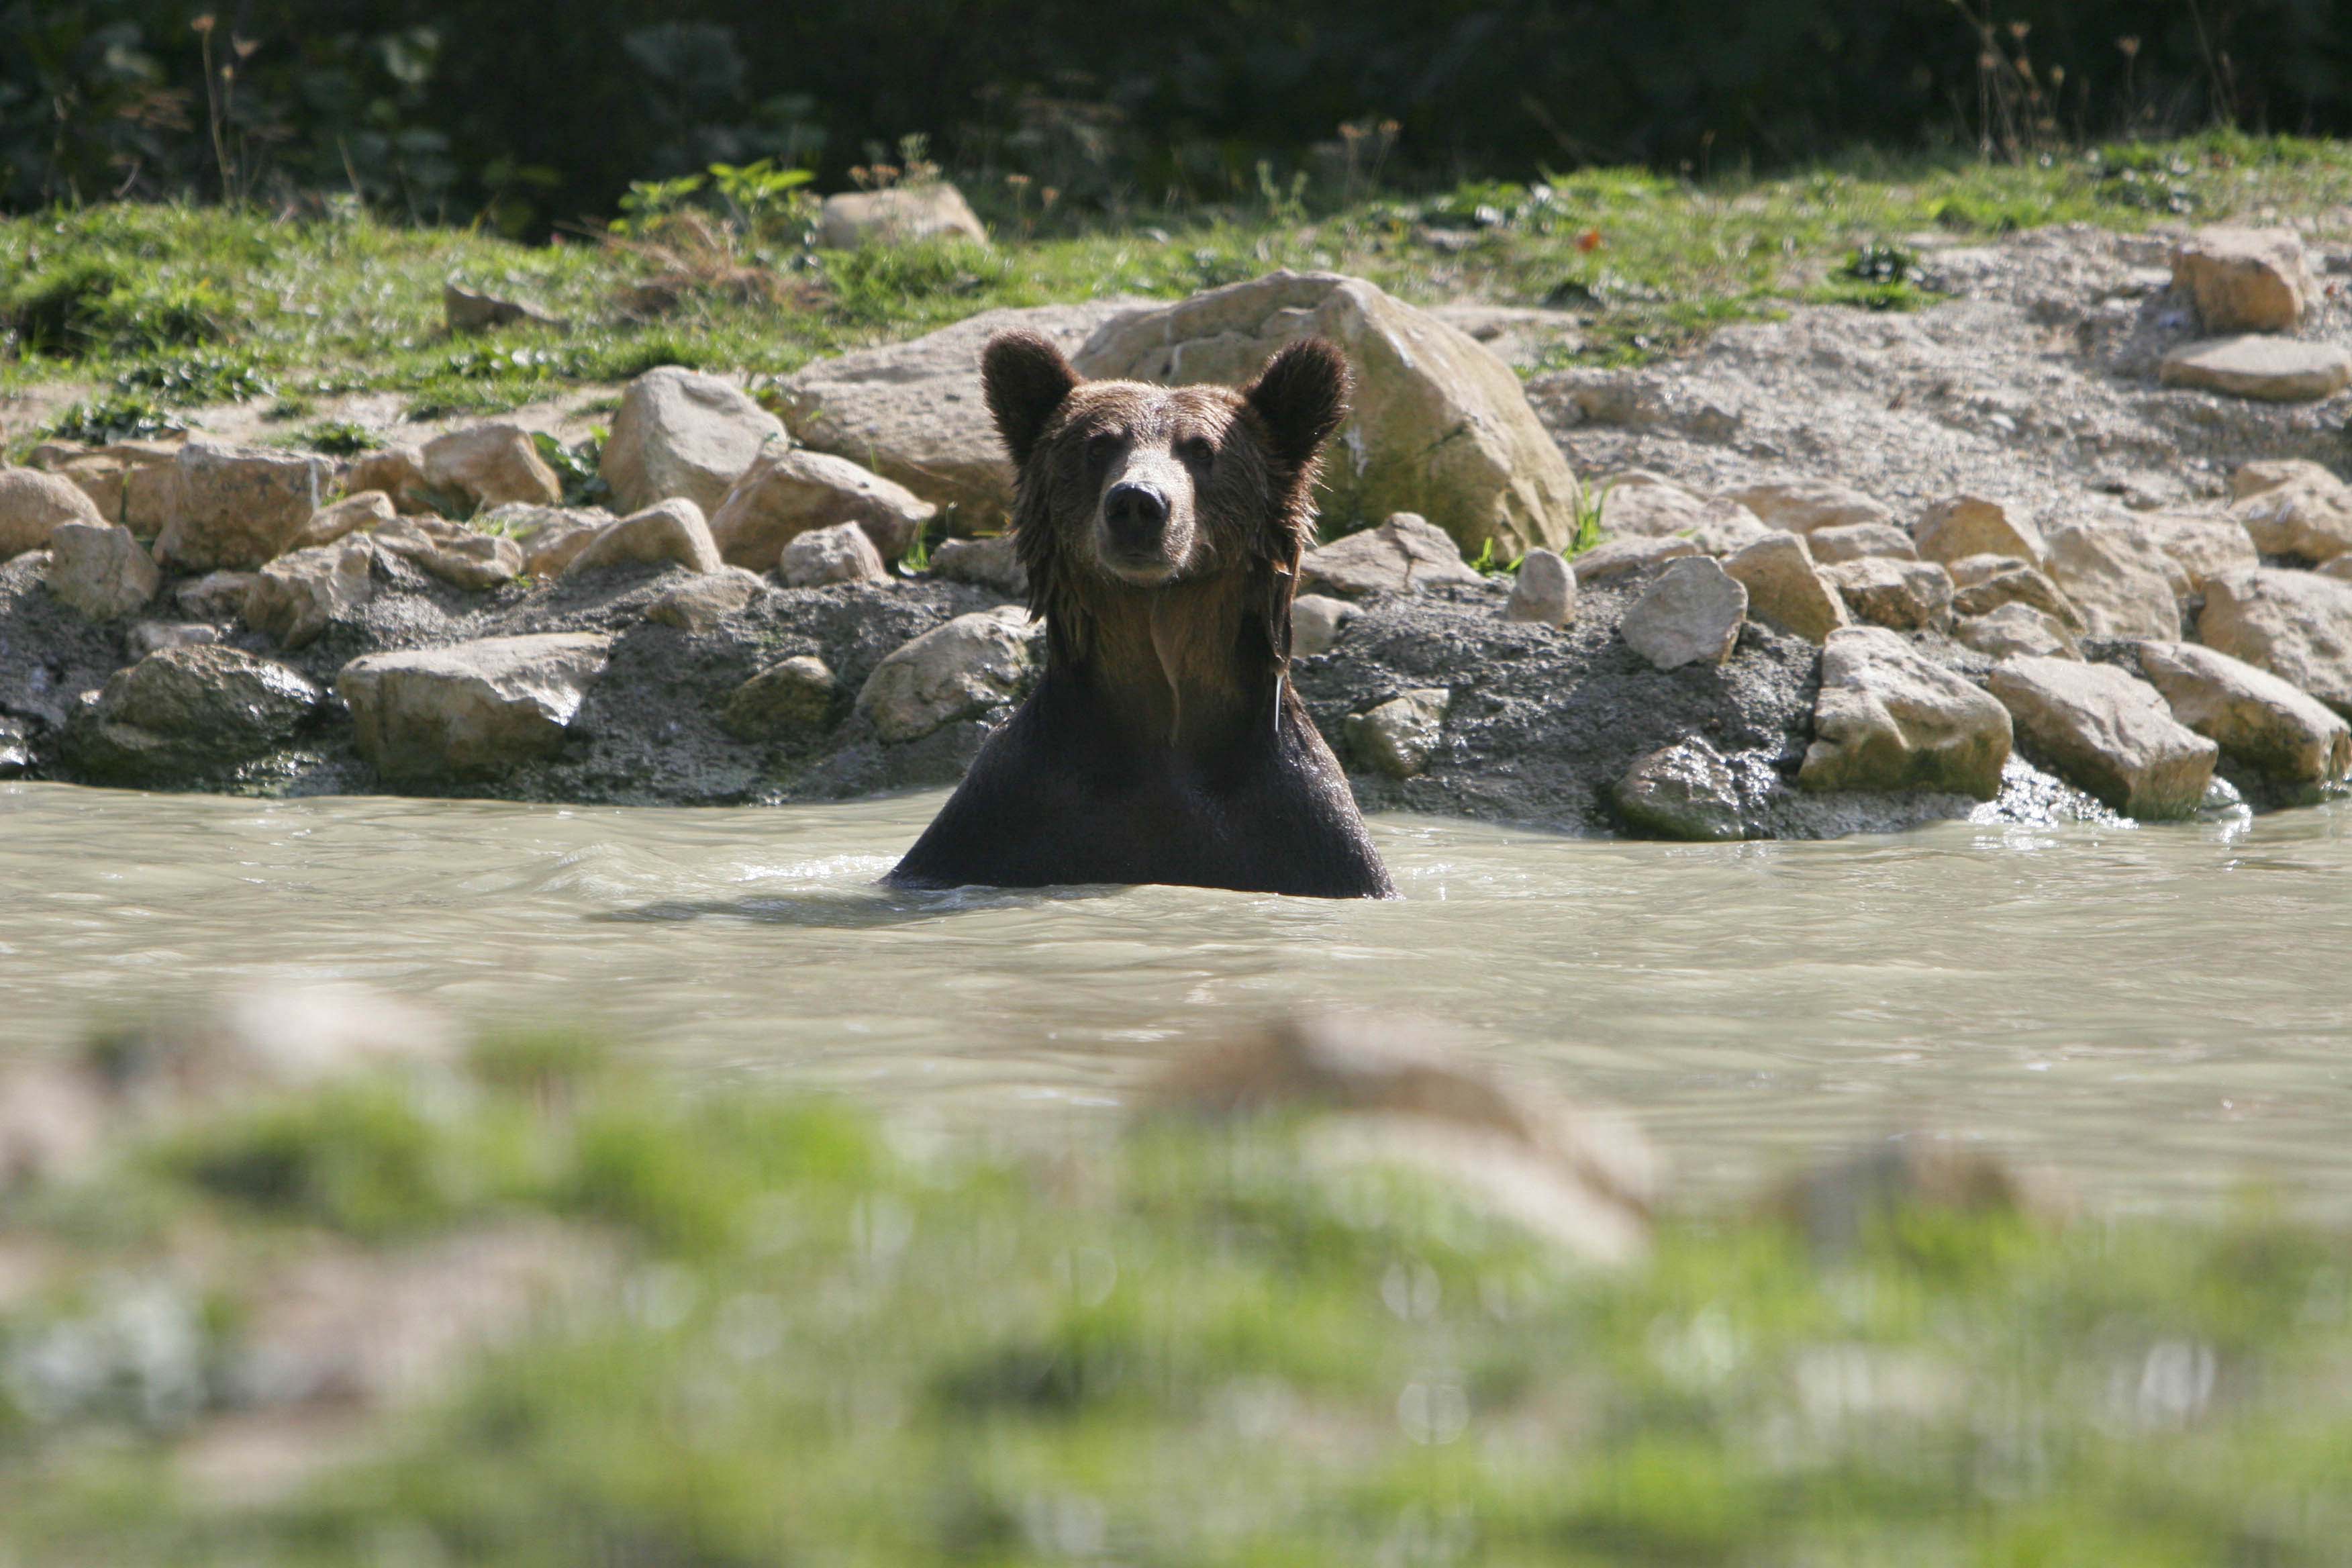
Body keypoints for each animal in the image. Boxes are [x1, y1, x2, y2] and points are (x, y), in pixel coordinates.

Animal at [884, 330, 1396, 899]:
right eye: (1098, 445)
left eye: (1202, 449)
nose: (1137, 503)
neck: (1166, 737)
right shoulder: (1004, 822)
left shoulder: (1302, 836)